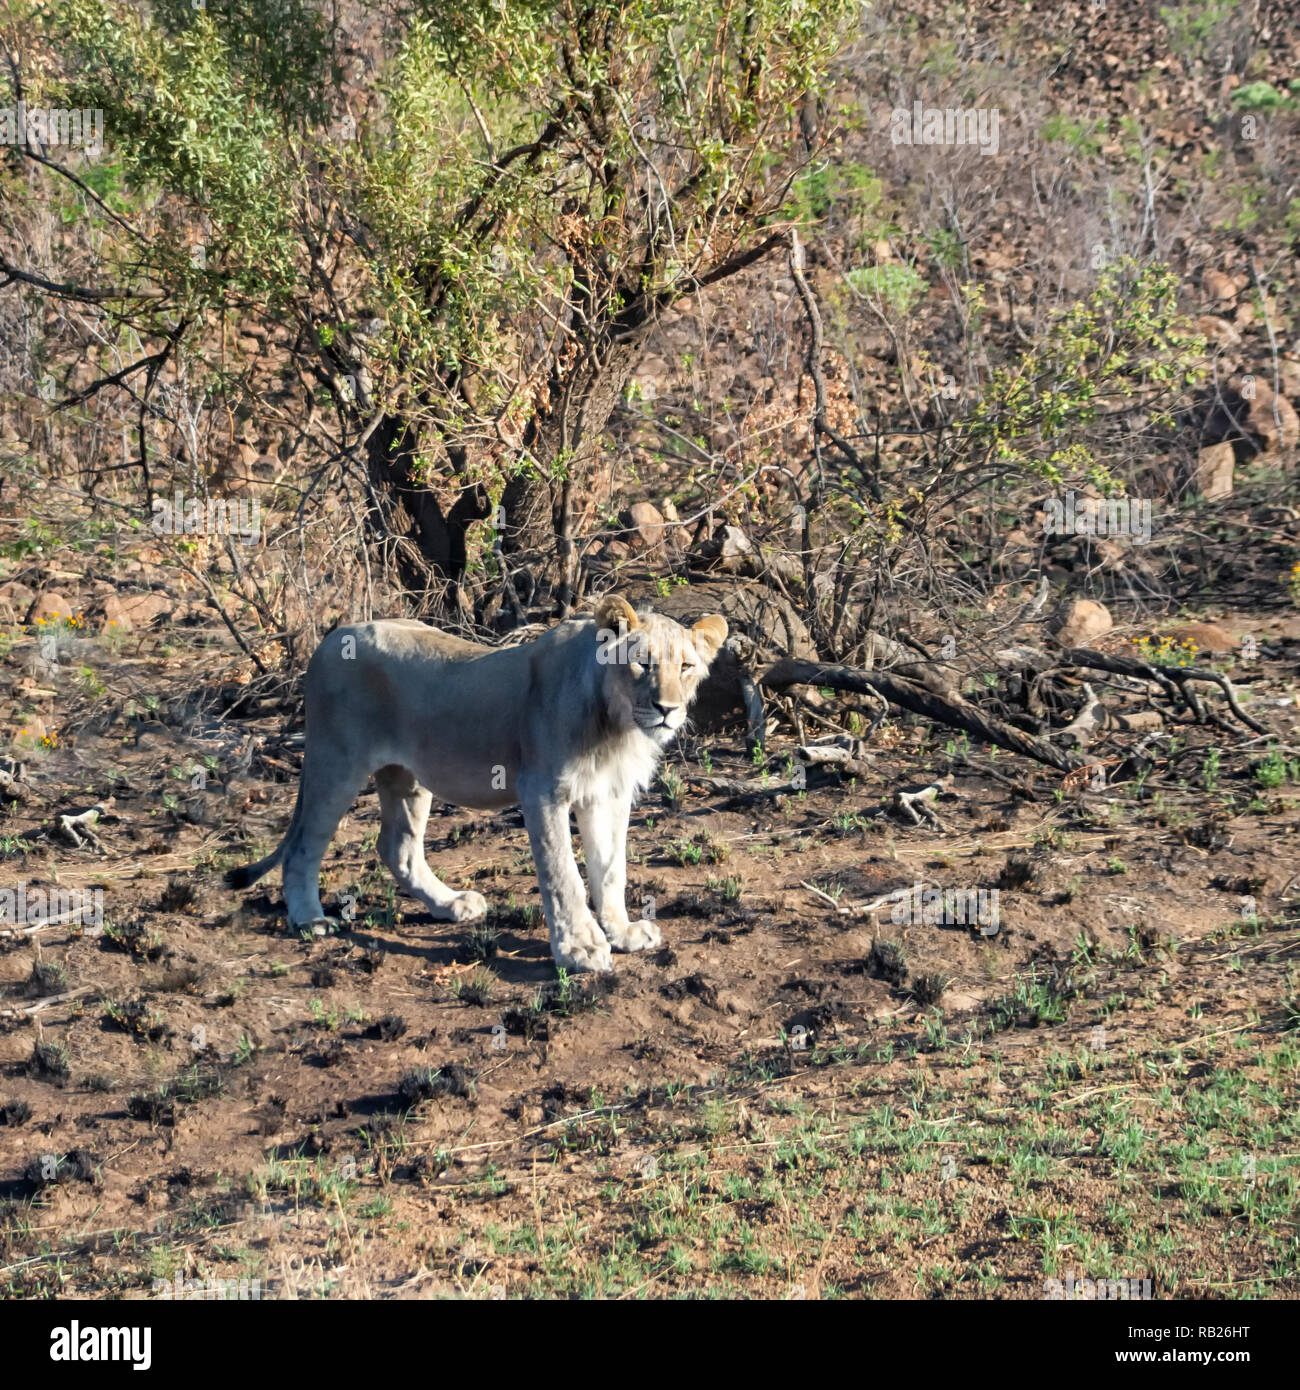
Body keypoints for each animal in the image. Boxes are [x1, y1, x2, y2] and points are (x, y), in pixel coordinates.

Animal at [225, 595, 727, 973]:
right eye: (642, 664)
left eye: (686, 666)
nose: (667, 710)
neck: (618, 725)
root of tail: (328, 640)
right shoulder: (542, 790)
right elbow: (562, 875)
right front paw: (579, 949)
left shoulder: (608, 794)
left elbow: (610, 869)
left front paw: (622, 932)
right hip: (335, 761)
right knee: (302, 846)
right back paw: (310, 920)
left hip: (406, 776)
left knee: (397, 848)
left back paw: (450, 905)